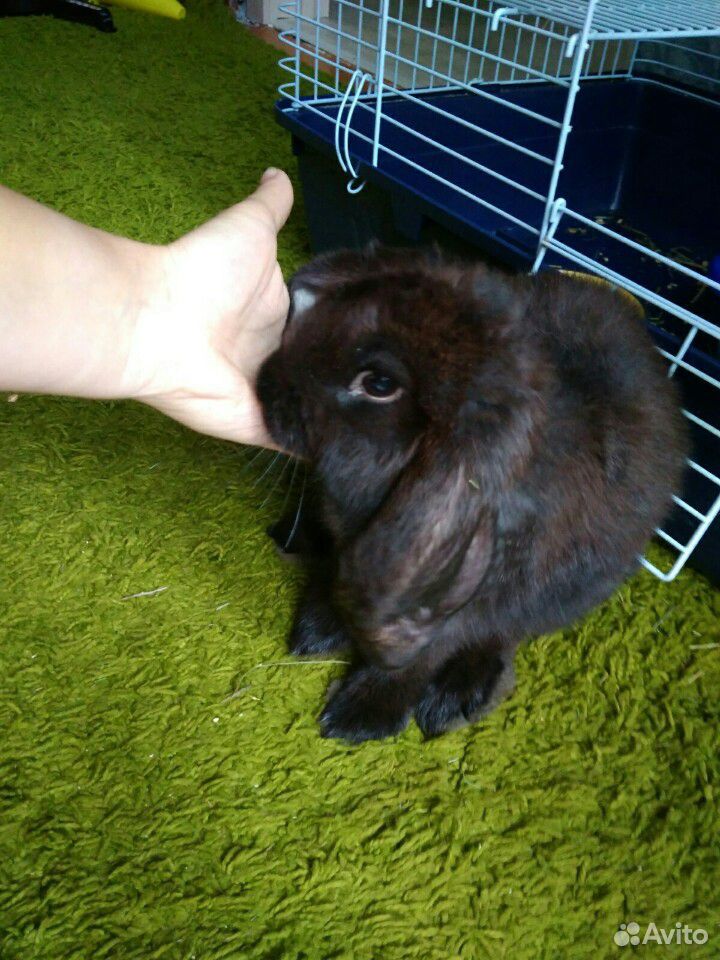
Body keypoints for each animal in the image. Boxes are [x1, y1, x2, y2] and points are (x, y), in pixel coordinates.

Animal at [256, 246, 687, 743]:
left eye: (379, 384)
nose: (264, 384)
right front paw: (316, 628)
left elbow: (418, 660)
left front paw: (356, 717)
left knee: (506, 634)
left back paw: (456, 697)